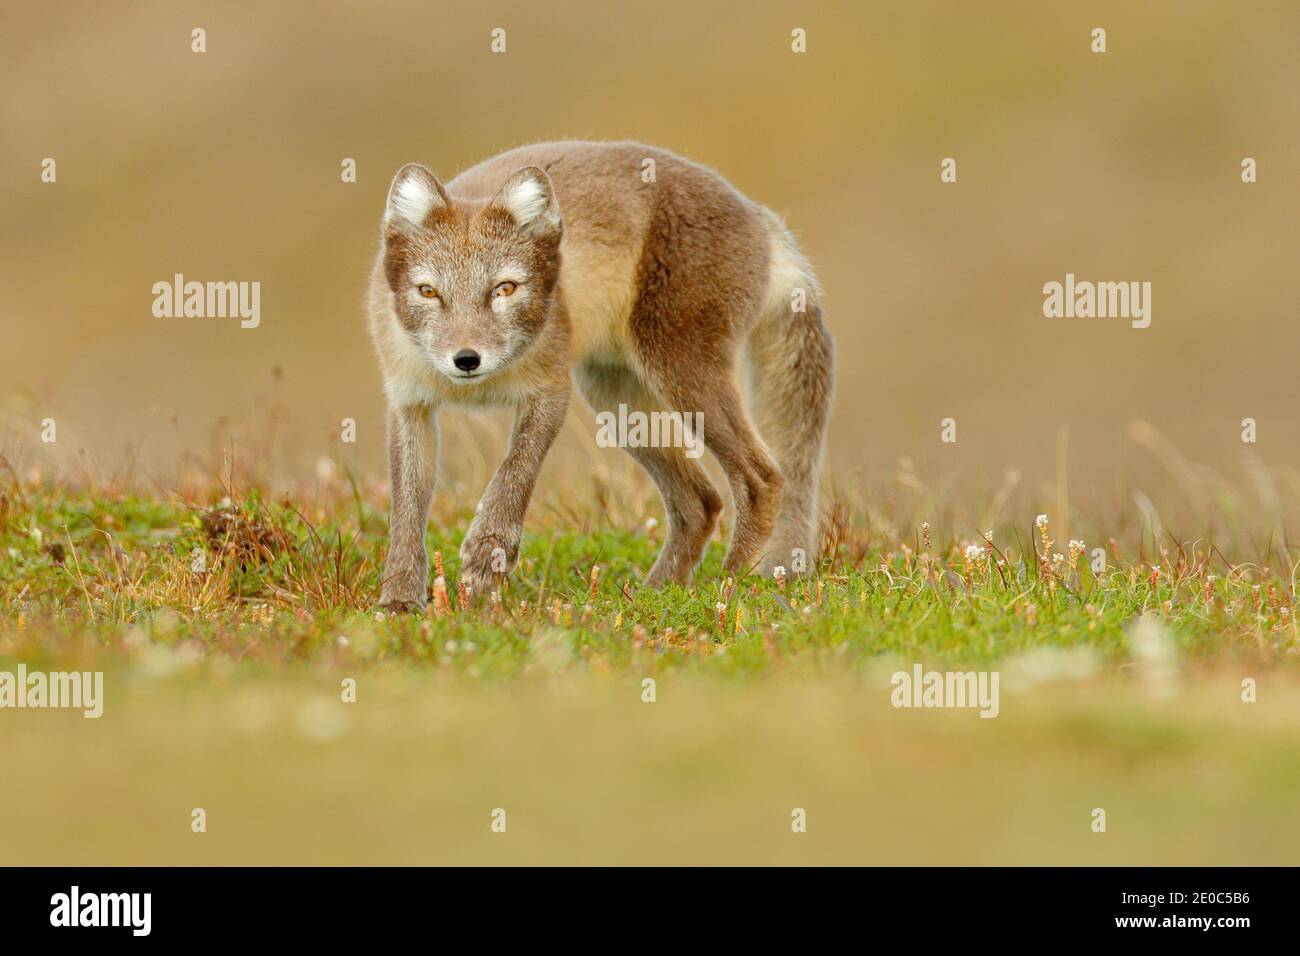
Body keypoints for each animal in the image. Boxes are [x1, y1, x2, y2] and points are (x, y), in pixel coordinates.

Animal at [369, 141, 834, 611]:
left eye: (505, 289)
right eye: (429, 292)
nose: (466, 359)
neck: (482, 389)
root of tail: (759, 214)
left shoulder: (551, 390)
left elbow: (515, 473)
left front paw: (488, 554)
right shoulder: (408, 405)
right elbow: (406, 513)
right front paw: (399, 599)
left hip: (677, 370)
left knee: (762, 477)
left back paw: (728, 584)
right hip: (618, 400)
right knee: (701, 501)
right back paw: (655, 592)